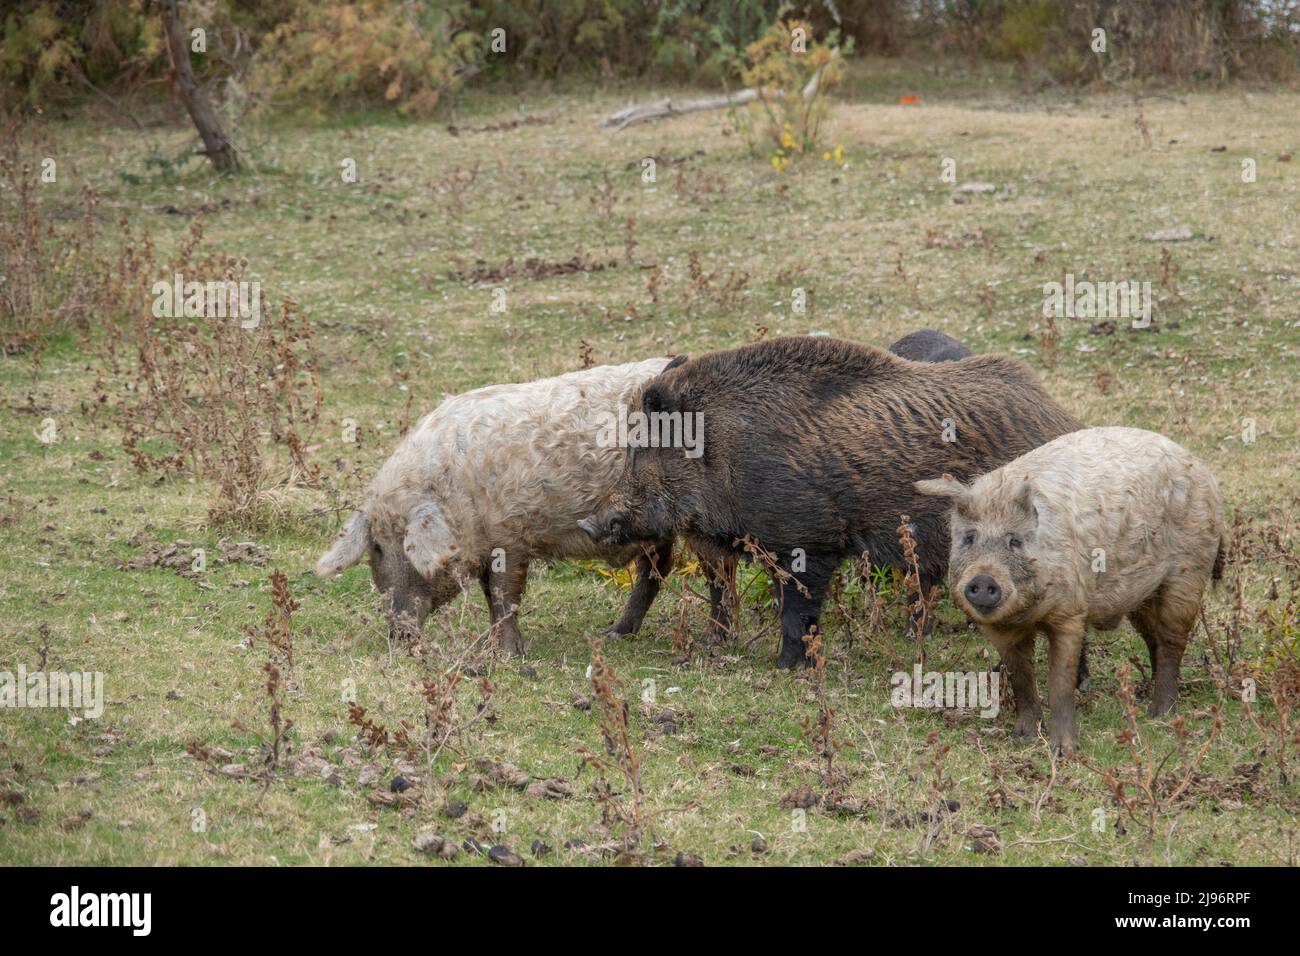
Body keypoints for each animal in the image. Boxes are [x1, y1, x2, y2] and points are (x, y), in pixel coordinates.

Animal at [315, 357, 684, 653]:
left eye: (401, 545)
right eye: (376, 547)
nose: (400, 637)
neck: (454, 495)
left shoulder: (510, 536)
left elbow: (504, 594)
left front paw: (506, 654)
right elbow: (490, 596)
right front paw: (493, 646)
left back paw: (615, 634)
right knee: (657, 569)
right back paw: (616, 634)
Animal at [579, 336, 1082, 670]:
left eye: (642, 449)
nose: (590, 523)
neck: (726, 450)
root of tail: (1063, 417)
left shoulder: (809, 539)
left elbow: (795, 608)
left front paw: (785, 667)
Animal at [916, 426, 1225, 755]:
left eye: (1014, 540)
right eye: (969, 538)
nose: (985, 579)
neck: (1028, 612)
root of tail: (1200, 466)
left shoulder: (1071, 612)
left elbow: (1060, 680)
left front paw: (1063, 751)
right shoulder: (999, 630)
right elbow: (1020, 676)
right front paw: (1023, 736)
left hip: (1189, 572)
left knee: (1172, 640)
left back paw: (1160, 713)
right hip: (1142, 594)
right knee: (1153, 638)